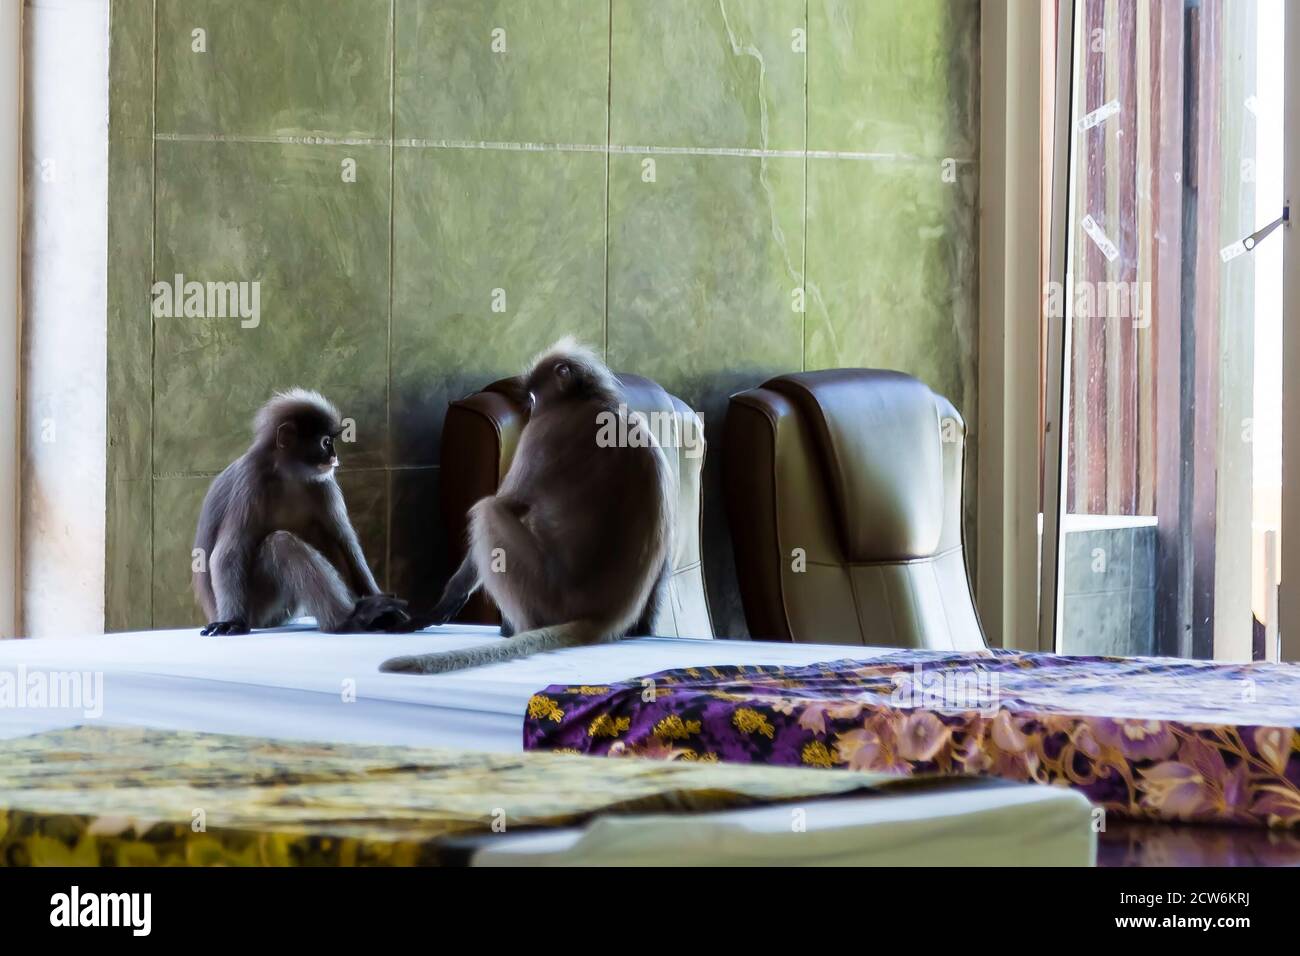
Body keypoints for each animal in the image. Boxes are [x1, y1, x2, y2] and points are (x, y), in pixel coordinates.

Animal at [193, 389, 409, 636]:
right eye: (326, 442)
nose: (334, 457)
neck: (288, 475)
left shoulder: (324, 483)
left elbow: (345, 543)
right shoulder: (251, 479)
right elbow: (228, 553)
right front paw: (232, 621)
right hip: (259, 609)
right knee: (280, 543)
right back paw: (347, 619)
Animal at [379, 338, 674, 674]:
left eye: (534, 397)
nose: (531, 408)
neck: (594, 402)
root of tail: (601, 617)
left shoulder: (545, 430)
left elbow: (509, 504)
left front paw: (443, 604)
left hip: (545, 596)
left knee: (488, 511)